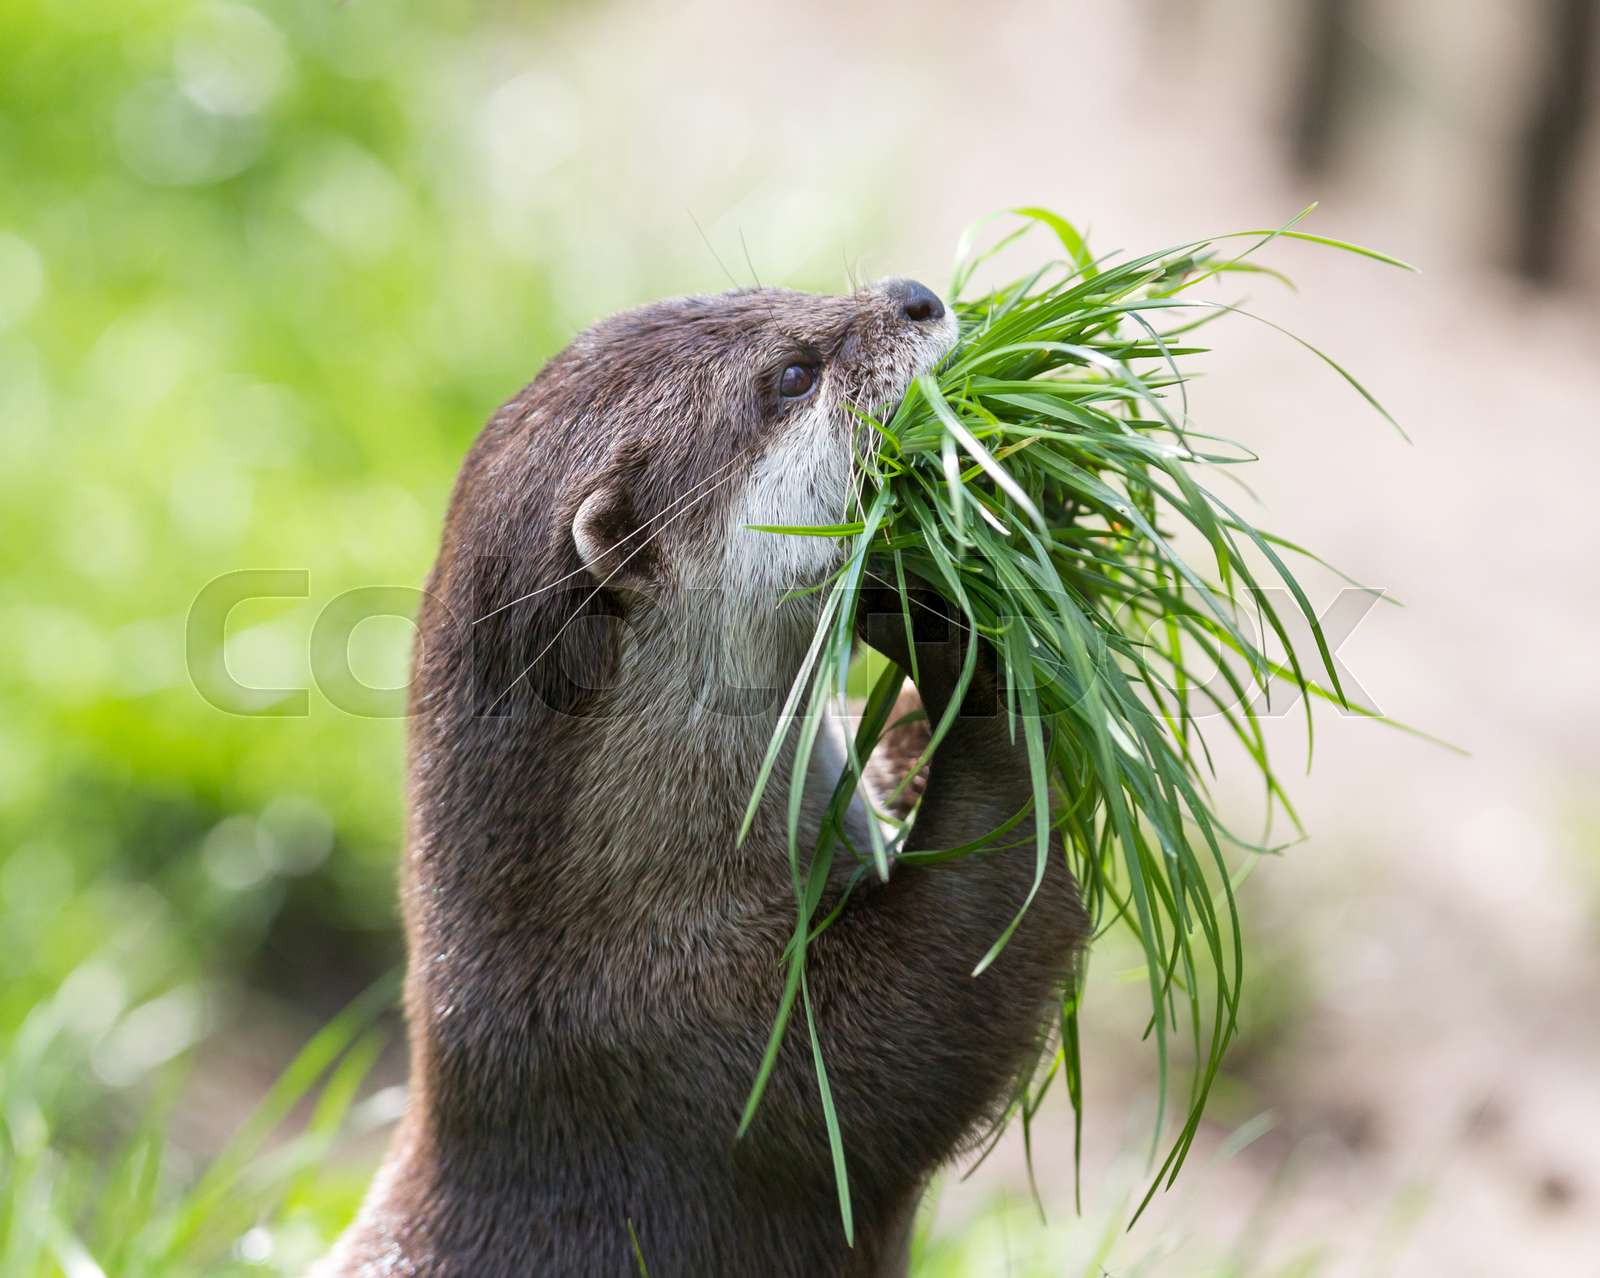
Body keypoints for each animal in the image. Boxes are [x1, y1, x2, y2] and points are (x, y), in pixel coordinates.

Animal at [317, 279, 1086, 1277]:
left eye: (787, 294)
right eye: (793, 376)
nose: (916, 296)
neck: (625, 918)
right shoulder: (719, 1056)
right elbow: (963, 969)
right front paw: (967, 640)